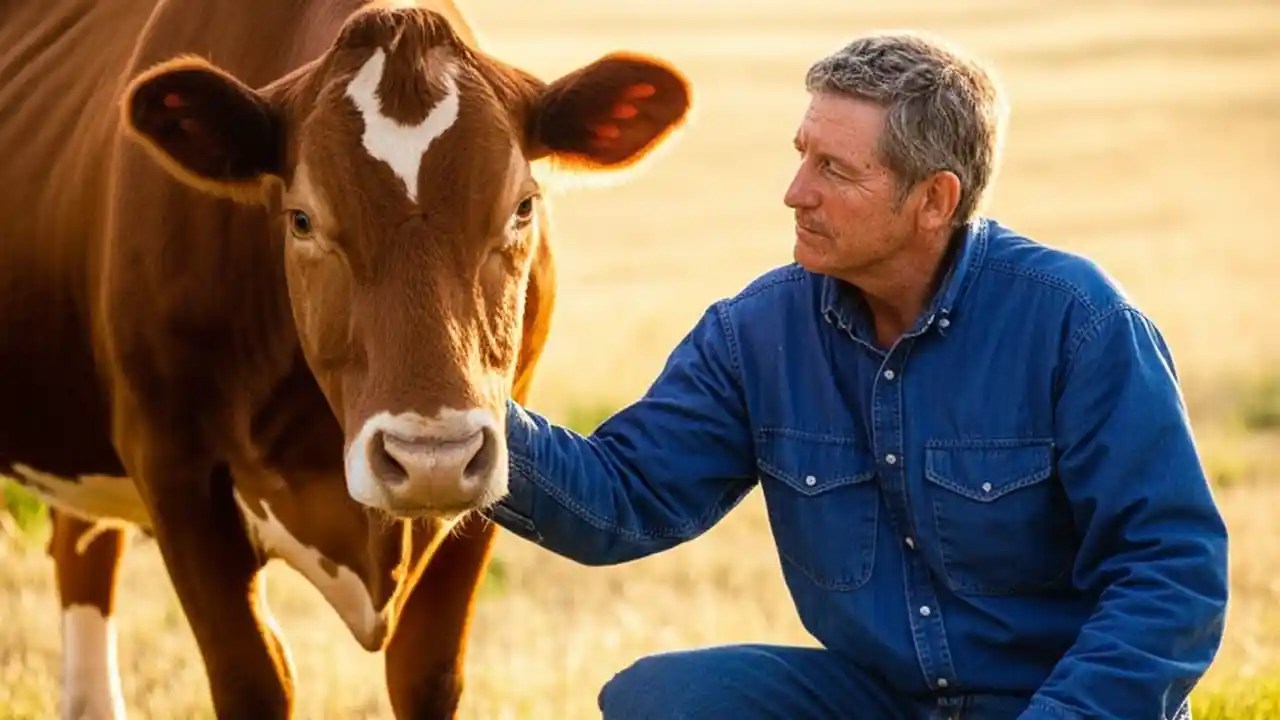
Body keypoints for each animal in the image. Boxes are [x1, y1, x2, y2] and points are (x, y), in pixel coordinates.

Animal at [0, 0, 691, 717]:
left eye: (523, 207)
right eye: (302, 219)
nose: (431, 460)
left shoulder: (488, 491)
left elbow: (426, 675)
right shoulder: (173, 467)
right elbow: (254, 678)